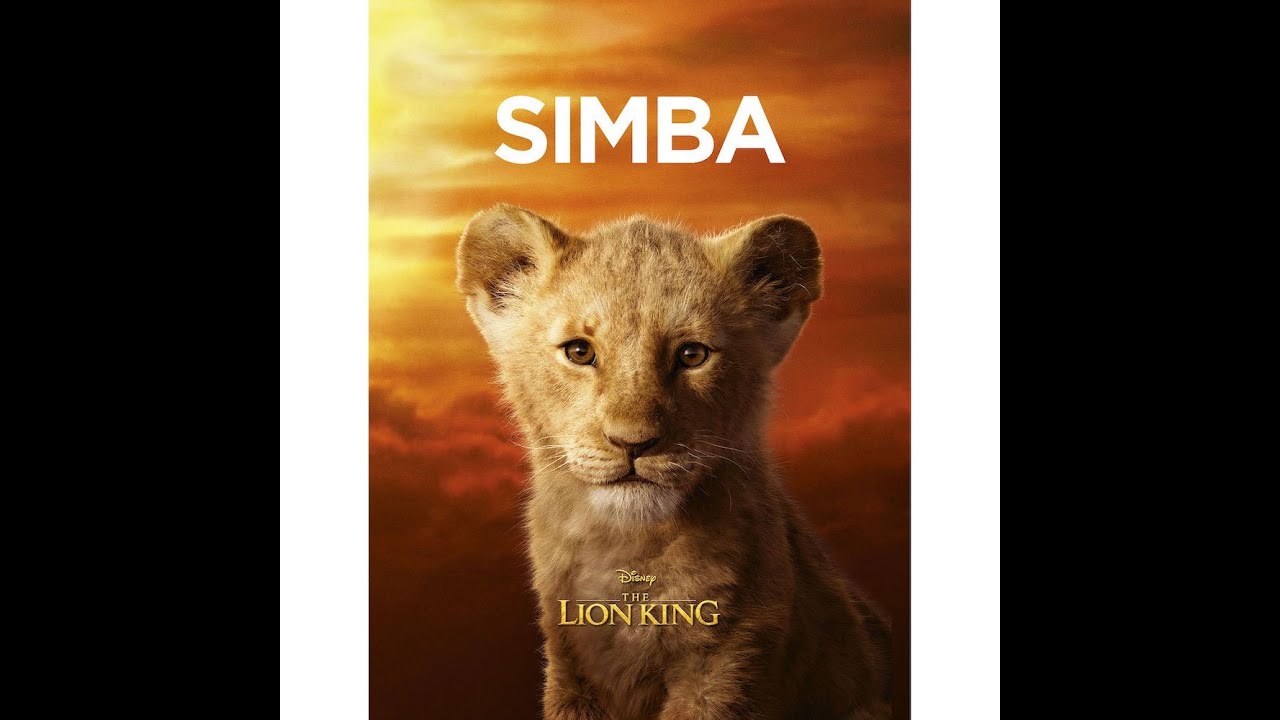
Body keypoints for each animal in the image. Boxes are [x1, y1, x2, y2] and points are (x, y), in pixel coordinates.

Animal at [456, 204, 891, 720]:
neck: (628, 548)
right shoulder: (570, 666)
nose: (634, 443)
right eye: (579, 351)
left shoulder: (726, 667)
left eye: (692, 354)